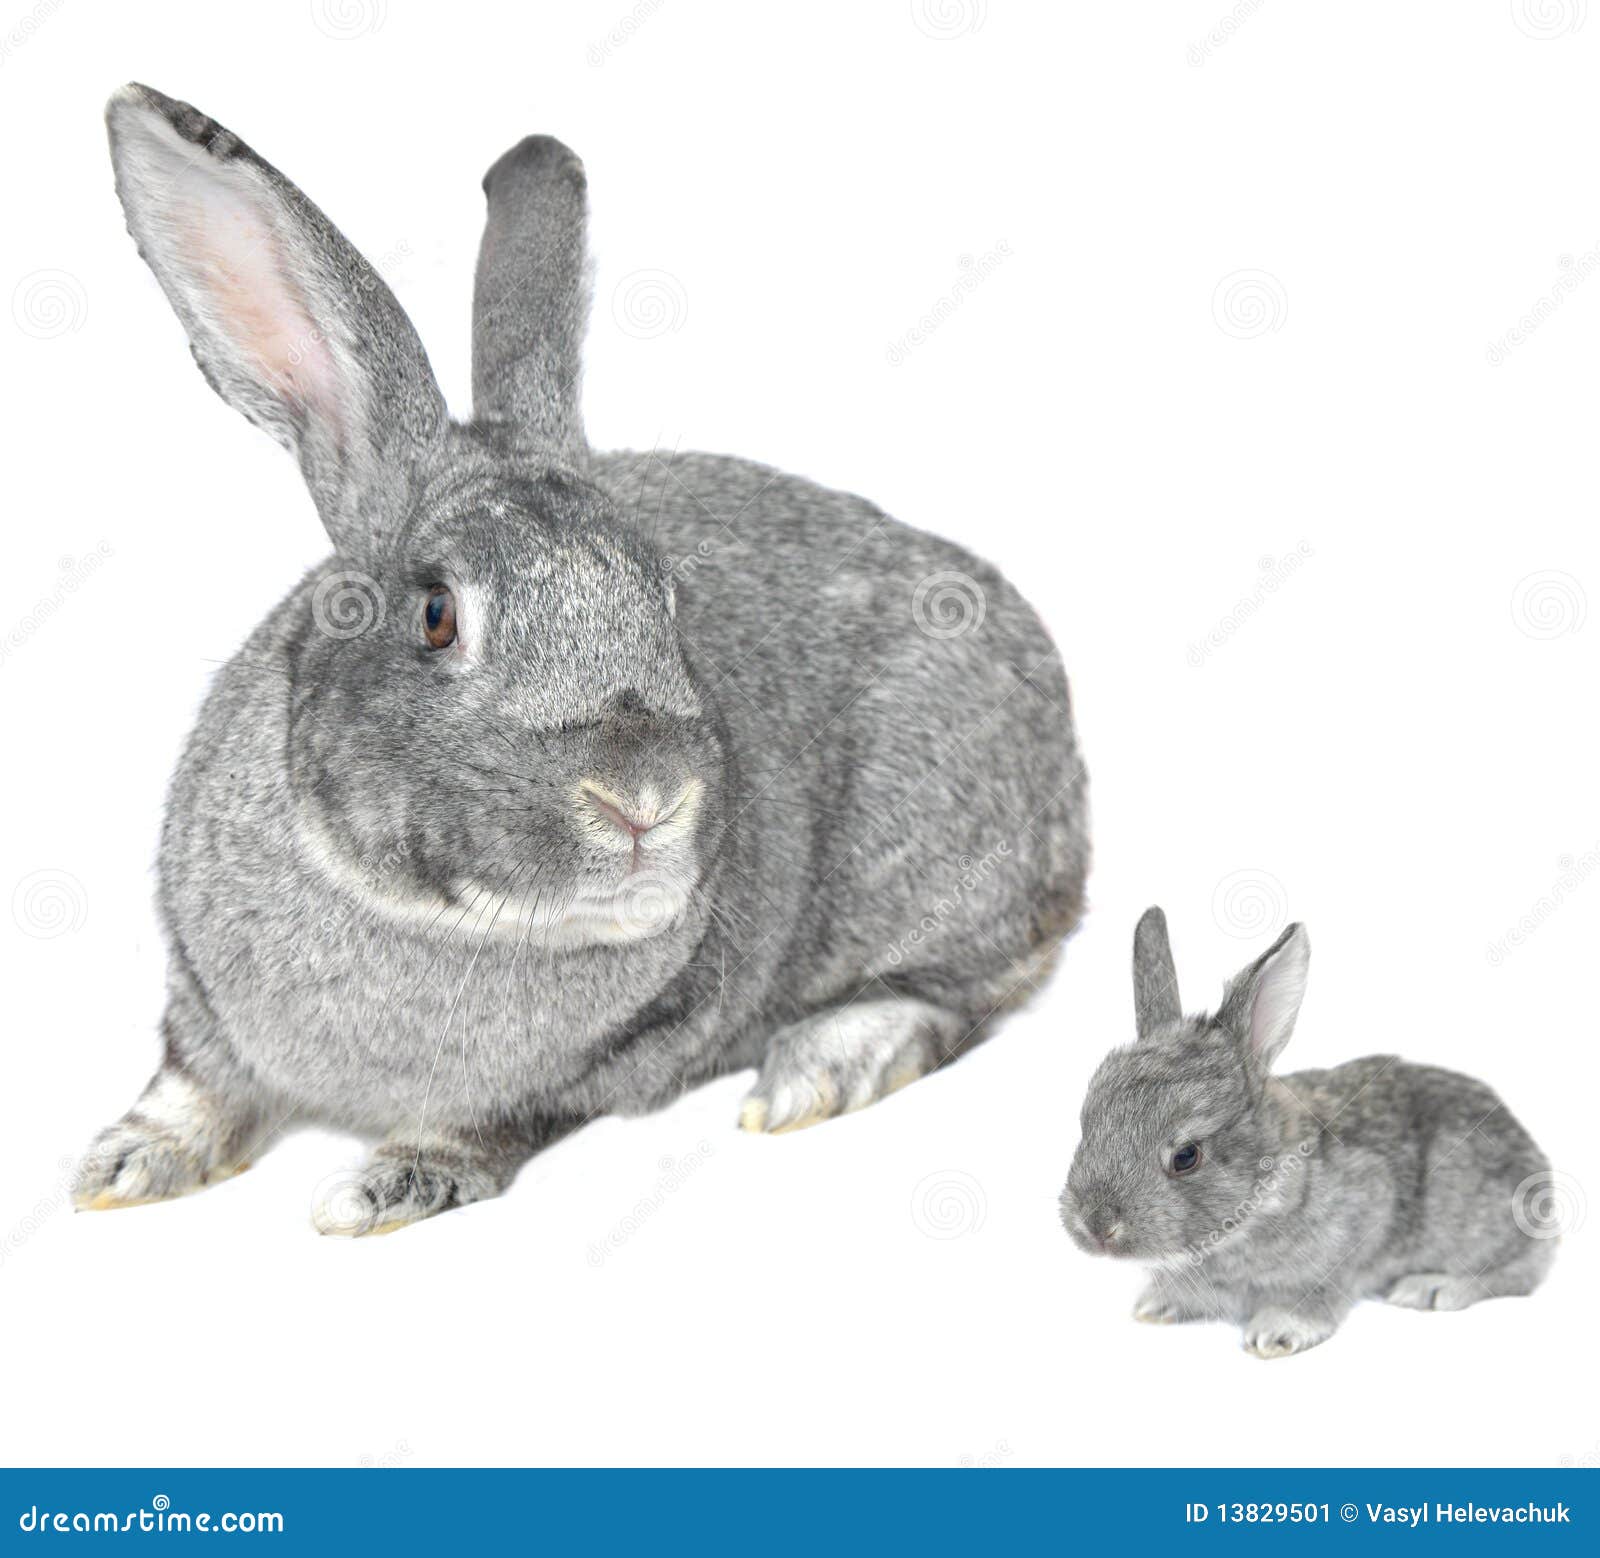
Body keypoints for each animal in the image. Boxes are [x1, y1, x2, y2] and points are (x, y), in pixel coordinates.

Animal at [72, 85, 1089, 1233]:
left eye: (668, 598)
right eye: (436, 615)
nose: (644, 800)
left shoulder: (601, 1065)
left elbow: (493, 1123)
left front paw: (380, 1190)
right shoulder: (199, 1007)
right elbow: (191, 1084)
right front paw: (122, 1165)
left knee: (969, 989)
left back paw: (820, 1068)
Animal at [1060, 908, 1556, 1358]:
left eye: (1186, 1156)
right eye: (1086, 1123)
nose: (1096, 1225)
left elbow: (1320, 1289)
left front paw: (1279, 1330)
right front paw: (1159, 1304)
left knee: (1517, 1271)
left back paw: (1433, 1288)